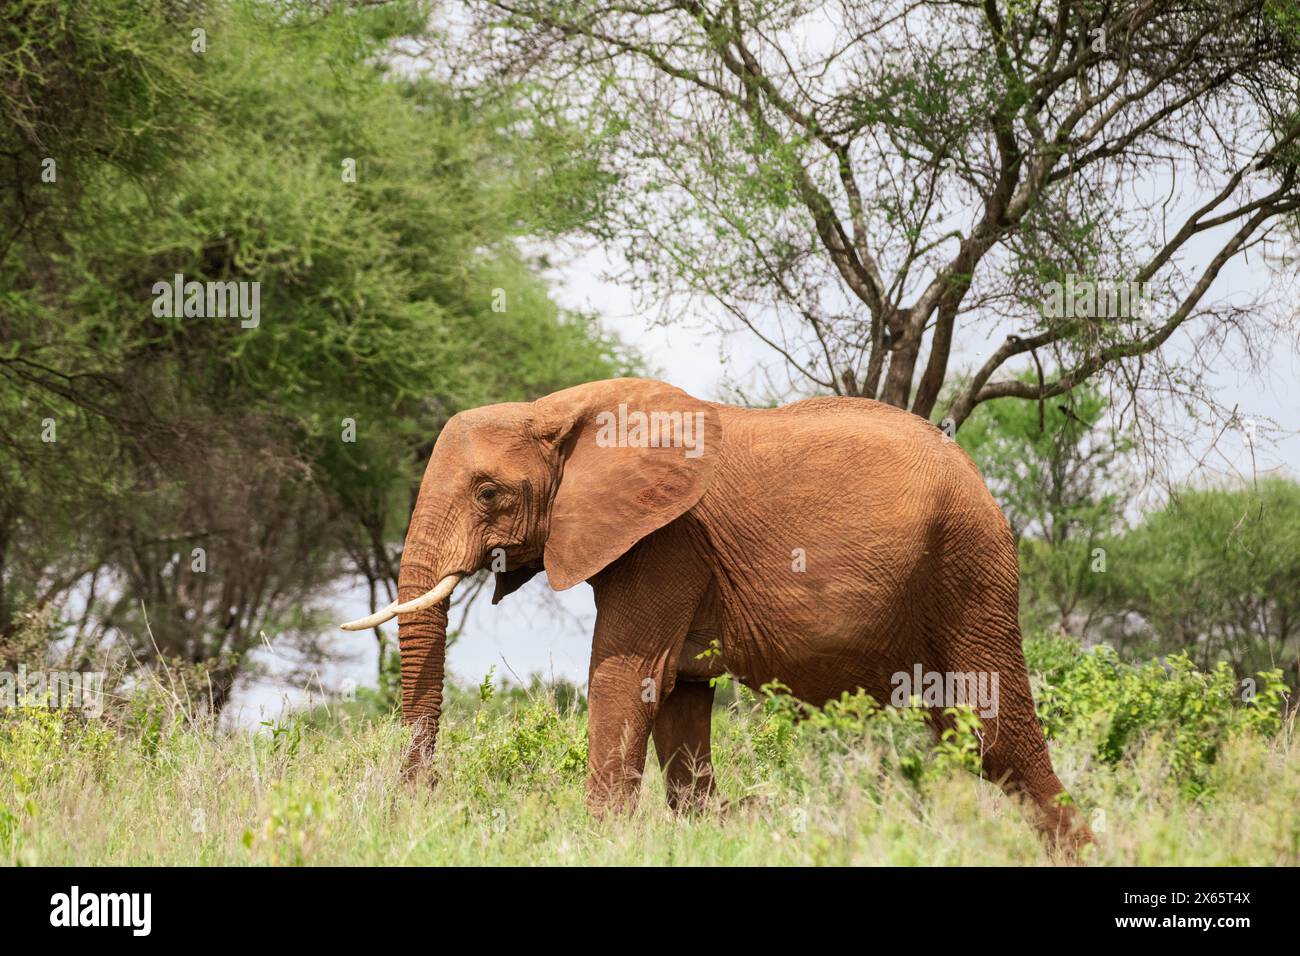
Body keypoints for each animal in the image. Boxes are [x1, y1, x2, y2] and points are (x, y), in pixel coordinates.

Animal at [341, 377, 1092, 852]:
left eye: (488, 492)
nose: (426, 793)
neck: (557, 410)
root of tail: (980, 482)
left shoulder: (667, 540)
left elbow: (626, 679)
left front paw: (595, 843)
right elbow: (679, 700)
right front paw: (725, 824)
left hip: (968, 566)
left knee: (996, 734)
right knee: (963, 735)